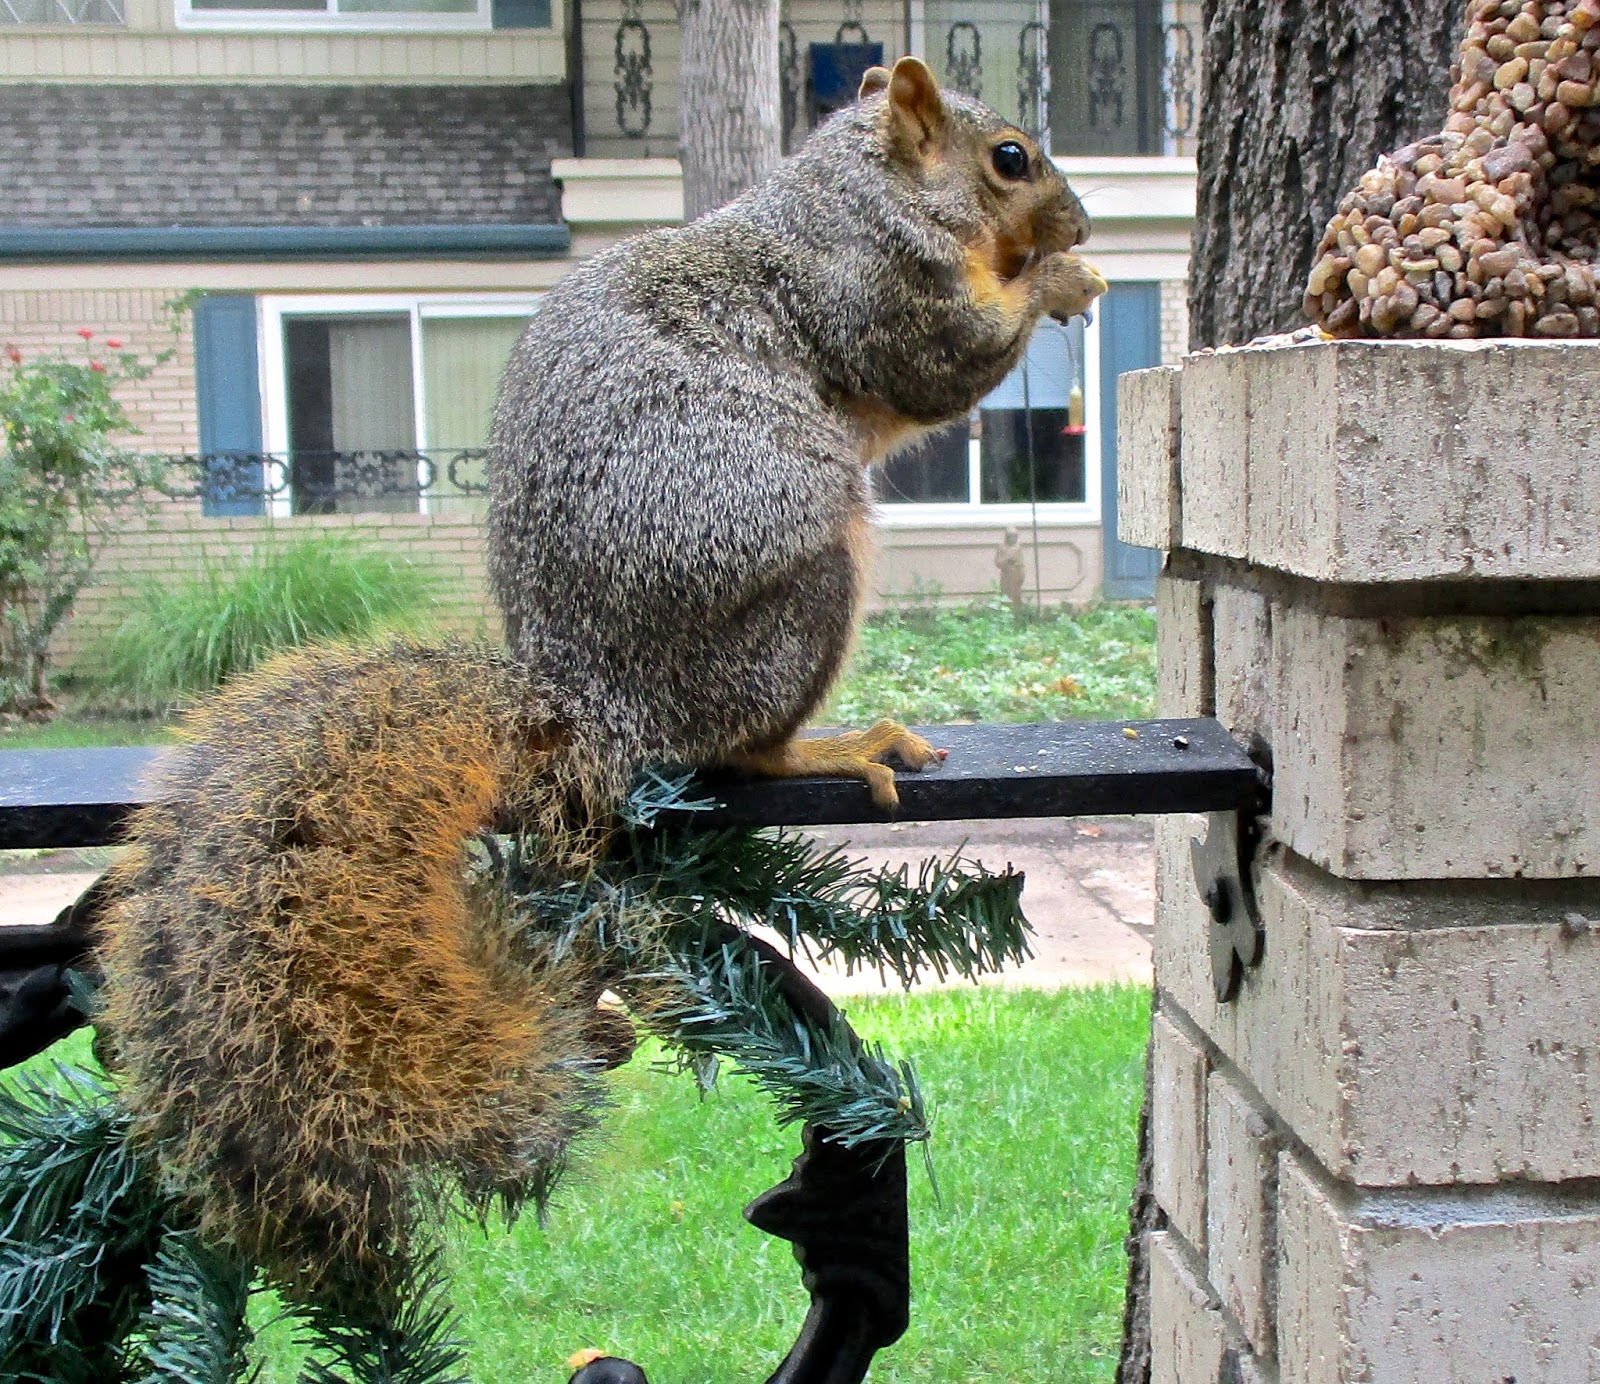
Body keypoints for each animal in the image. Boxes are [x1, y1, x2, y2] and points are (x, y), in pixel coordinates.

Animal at [97, 56, 1105, 1311]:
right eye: (1009, 158)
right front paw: (1058, 279)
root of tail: (585, 709)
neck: (850, 188)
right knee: (742, 747)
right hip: (806, 596)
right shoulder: (871, 283)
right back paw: (833, 744)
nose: (1081, 222)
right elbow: (941, 360)